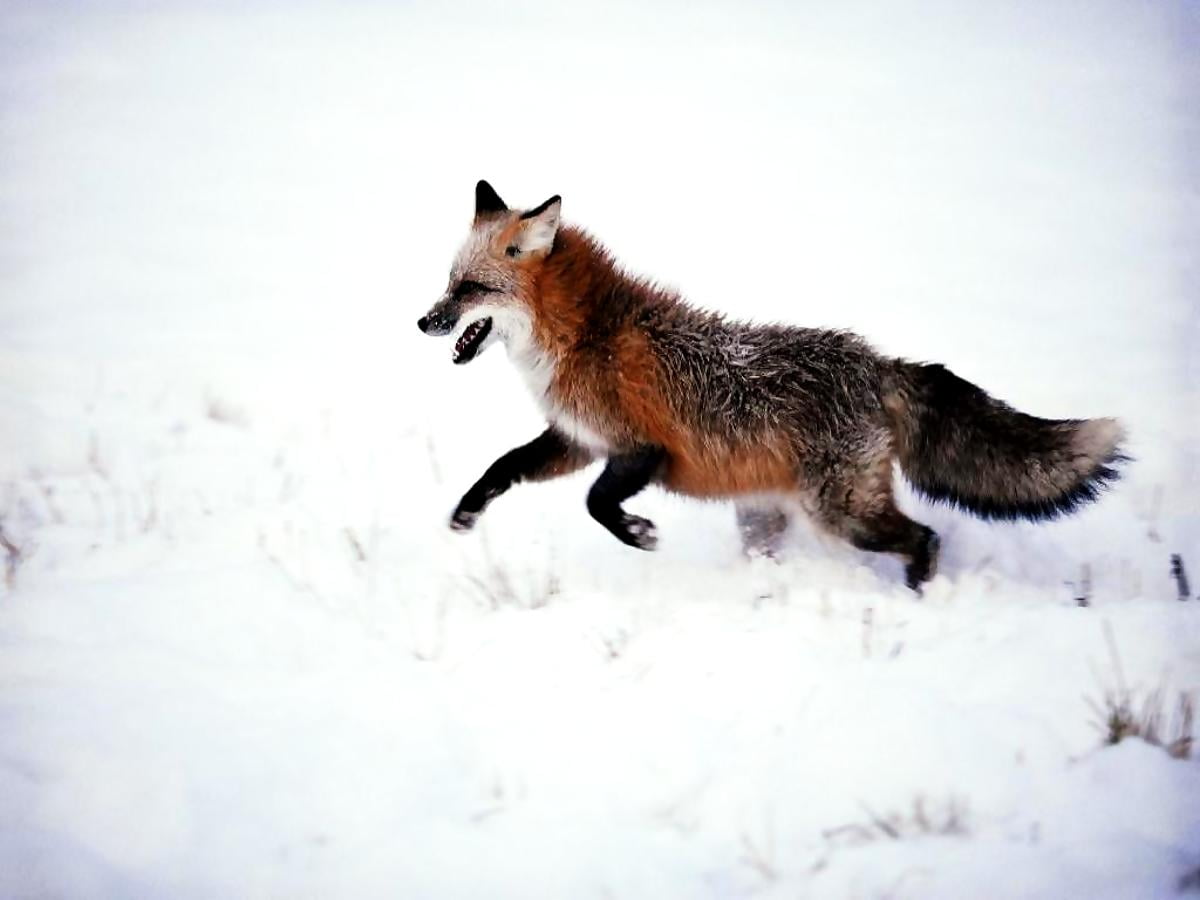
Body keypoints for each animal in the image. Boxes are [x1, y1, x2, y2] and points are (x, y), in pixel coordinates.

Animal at [418, 180, 1127, 589]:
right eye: (449, 283)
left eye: (470, 289)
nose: (423, 321)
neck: (587, 335)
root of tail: (876, 362)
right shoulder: (579, 440)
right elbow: (501, 467)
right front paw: (464, 515)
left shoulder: (640, 449)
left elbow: (598, 505)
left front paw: (641, 534)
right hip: (767, 518)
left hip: (841, 512)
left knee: (925, 537)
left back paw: (918, 592)